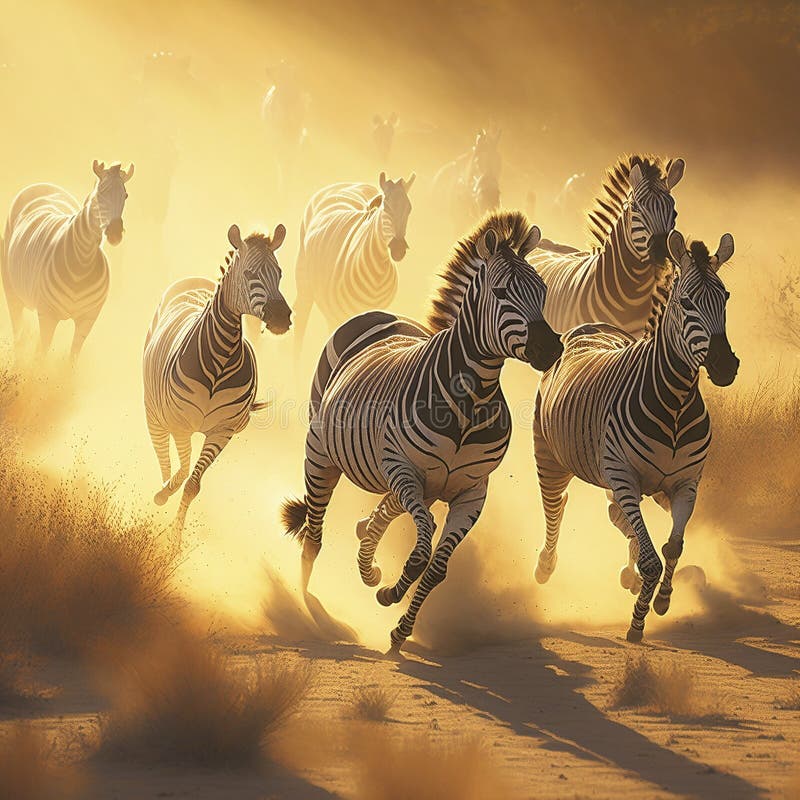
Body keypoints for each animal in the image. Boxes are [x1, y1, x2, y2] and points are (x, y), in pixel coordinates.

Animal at [1, 160, 133, 359]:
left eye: (125, 195)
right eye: (100, 194)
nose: (115, 234)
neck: (82, 263)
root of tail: (43, 184)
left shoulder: (88, 319)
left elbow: (71, 360)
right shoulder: (47, 314)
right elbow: (42, 357)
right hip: (12, 292)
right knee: (18, 335)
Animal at [143, 224, 291, 533]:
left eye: (280, 273)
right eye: (249, 274)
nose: (281, 317)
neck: (221, 359)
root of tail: (196, 280)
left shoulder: (222, 431)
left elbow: (192, 484)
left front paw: (173, 539)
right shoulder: (181, 424)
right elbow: (181, 472)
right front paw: (162, 497)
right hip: (154, 411)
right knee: (162, 454)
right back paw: (160, 492)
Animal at [280, 211, 563, 654]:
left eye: (543, 291)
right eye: (501, 291)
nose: (551, 349)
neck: (471, 398)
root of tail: (380, 313)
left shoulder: (471, 491)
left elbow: (437, 567)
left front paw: (399, 628)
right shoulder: (404, 468)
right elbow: (419, 552)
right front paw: (389, 593)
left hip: (413, 481)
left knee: (381, 513)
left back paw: (367, 563)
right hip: (322, 455)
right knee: (314, 534)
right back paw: (309, 608)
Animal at [293, 172, 415, 361]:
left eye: (409, 210)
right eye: (386, 208)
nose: (398, 249)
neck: (376, 273)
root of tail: (346, 183)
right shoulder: (338, 315)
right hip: (304, 278)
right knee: (300, 317)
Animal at [532, 229, 738, 642]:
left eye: (725, 297)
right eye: (686, 302)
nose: (725, 366)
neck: (675, 402)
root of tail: (591, 326)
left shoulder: (685, 484)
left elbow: (672, 547)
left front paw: (663, 599)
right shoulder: (625, 476)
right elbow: (652, 559)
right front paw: (638, 620)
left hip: (630, 481)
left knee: (617, 516)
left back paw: (630, 573)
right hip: (552, 457)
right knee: (555, 505)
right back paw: (546, 566)